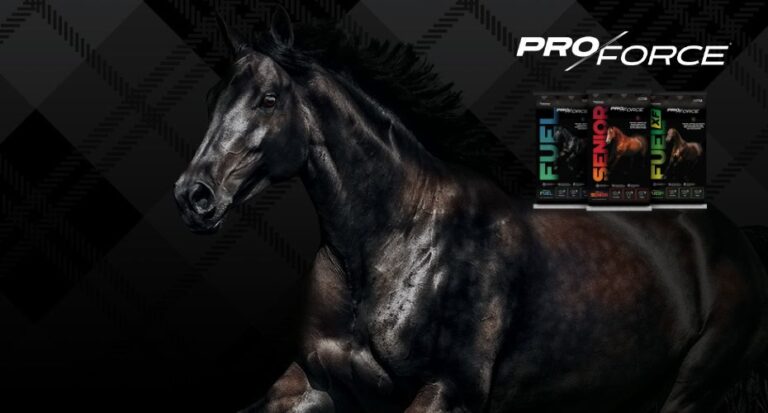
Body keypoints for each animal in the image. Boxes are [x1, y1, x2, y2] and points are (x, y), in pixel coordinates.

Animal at [174, 9, 768, 413]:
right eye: (213, 100)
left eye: (269, 99)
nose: (193, 196)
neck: (393, 242)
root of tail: (733, 238)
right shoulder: (312, 383)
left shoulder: (448, 391)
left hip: (690, 390)